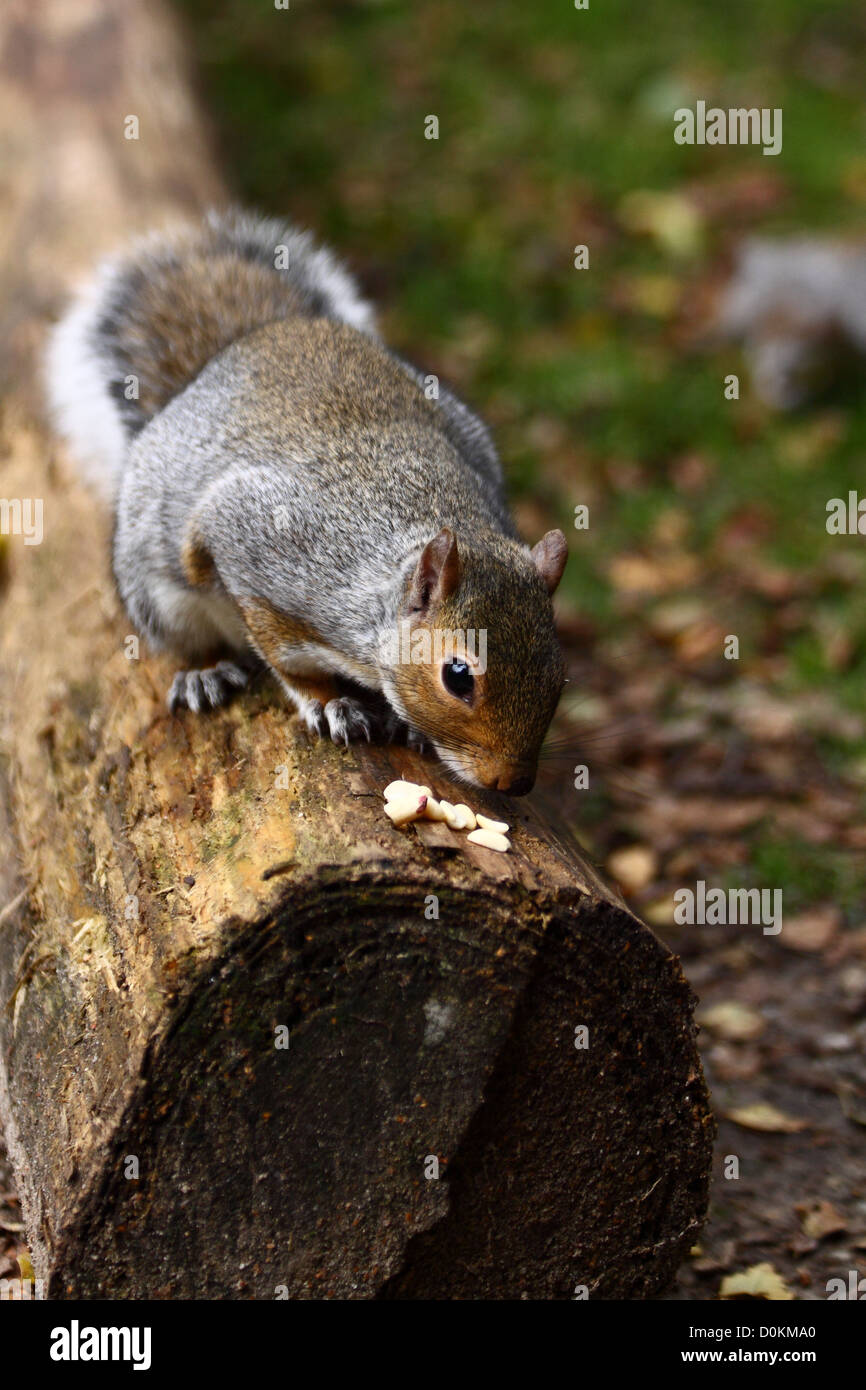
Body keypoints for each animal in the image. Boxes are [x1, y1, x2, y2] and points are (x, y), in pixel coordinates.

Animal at [45, 208, 567, 796]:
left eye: (560, 676)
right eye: (457, 676)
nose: (514, 783)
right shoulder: (259, 545)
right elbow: (286, 657)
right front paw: (330, 702)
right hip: (155, 590)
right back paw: (205, 670)